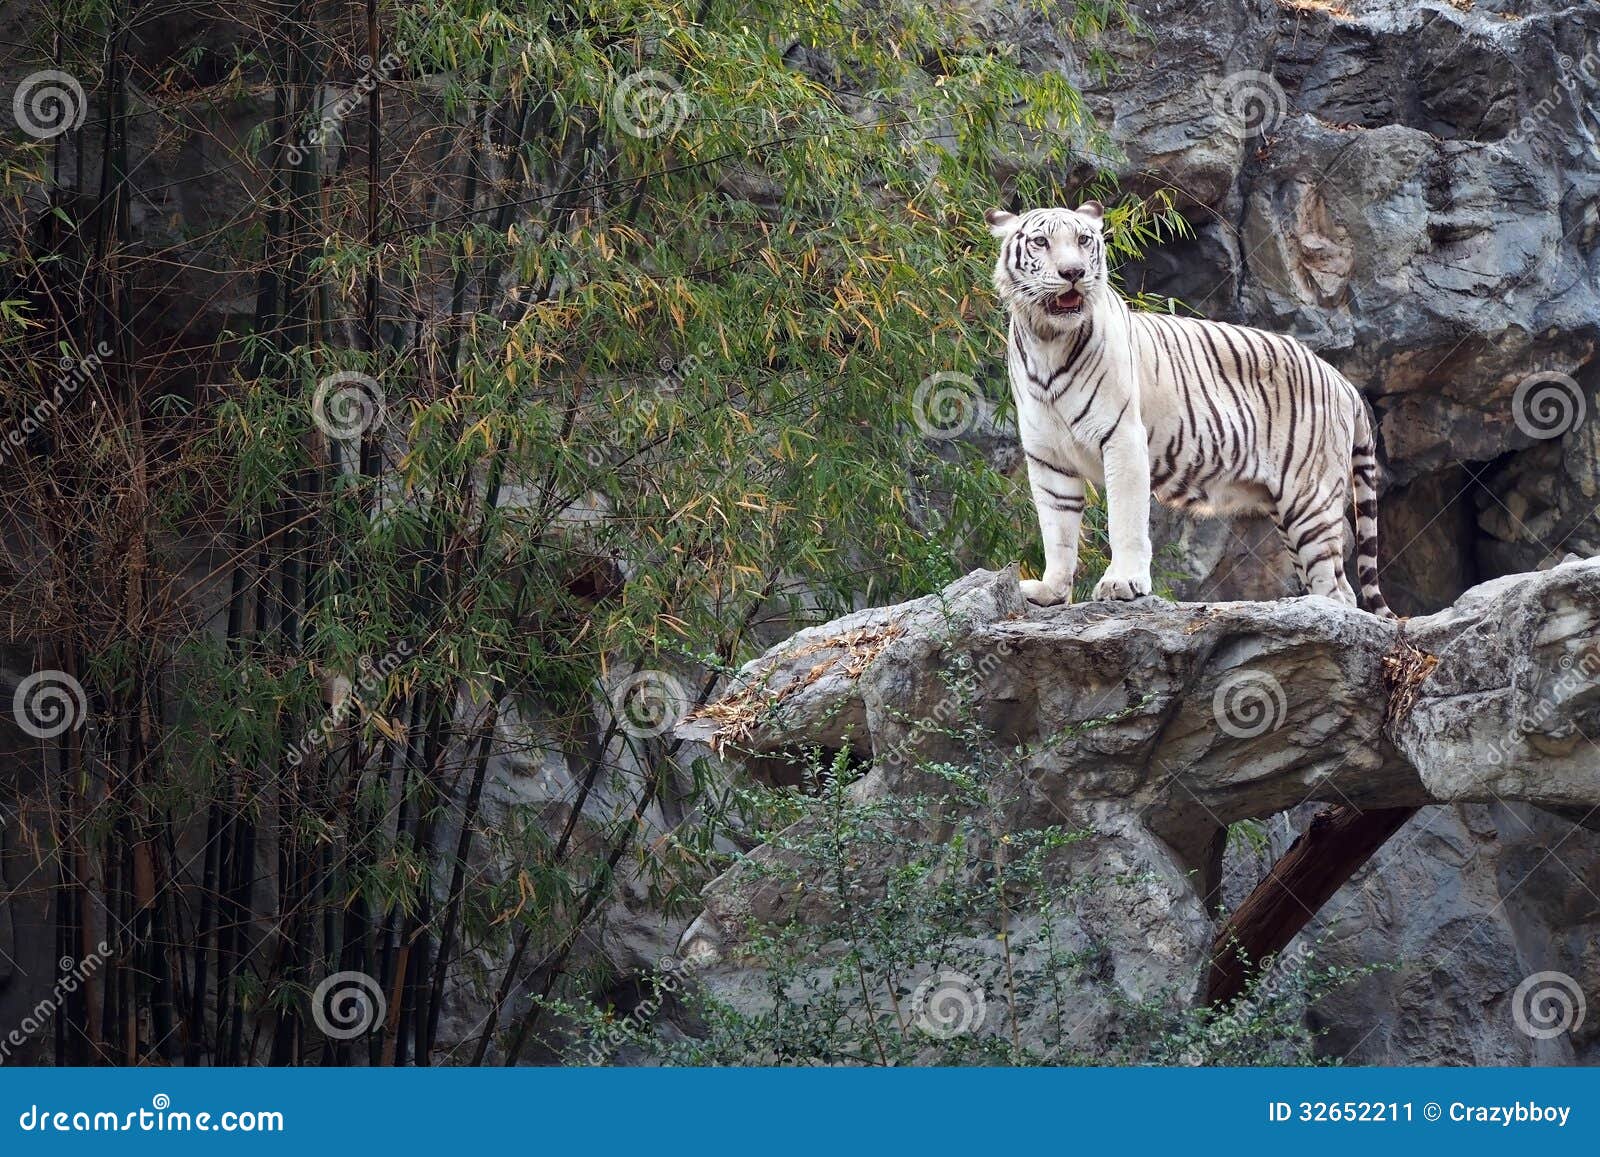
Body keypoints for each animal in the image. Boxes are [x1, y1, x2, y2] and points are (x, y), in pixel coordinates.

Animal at [986, 201, 1392, 617]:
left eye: (1083, 240)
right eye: (1041, 242)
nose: (1073, 273)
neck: (1048, 340)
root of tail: (1339, 378)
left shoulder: (1122, 438)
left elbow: (1125, 519)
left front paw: (1122, 583)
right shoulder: (1048, 456)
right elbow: (1058, 529)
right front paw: (1050, 591)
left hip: (1310, 497)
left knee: (1340, 591)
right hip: (1287, 511)